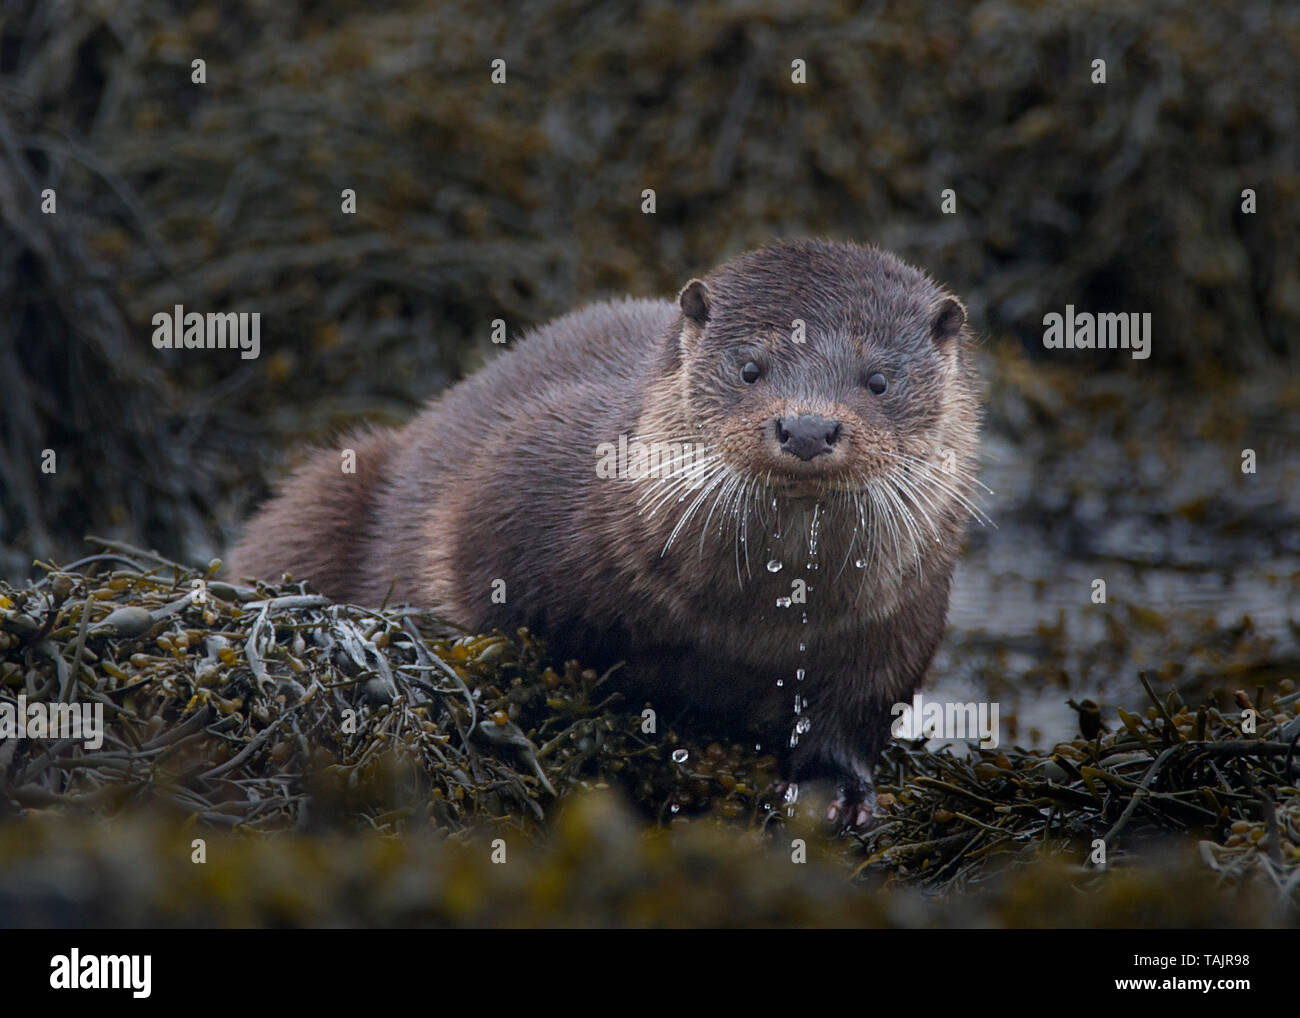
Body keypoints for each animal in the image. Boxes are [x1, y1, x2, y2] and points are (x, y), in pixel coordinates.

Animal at [229, 239, 983, 827]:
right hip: (327, 493)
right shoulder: (510, 480)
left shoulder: (899, 620)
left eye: (878, 380)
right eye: (749, 368)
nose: (806, 426)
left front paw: (838, 793)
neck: (748, 624)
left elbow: (855, 715)